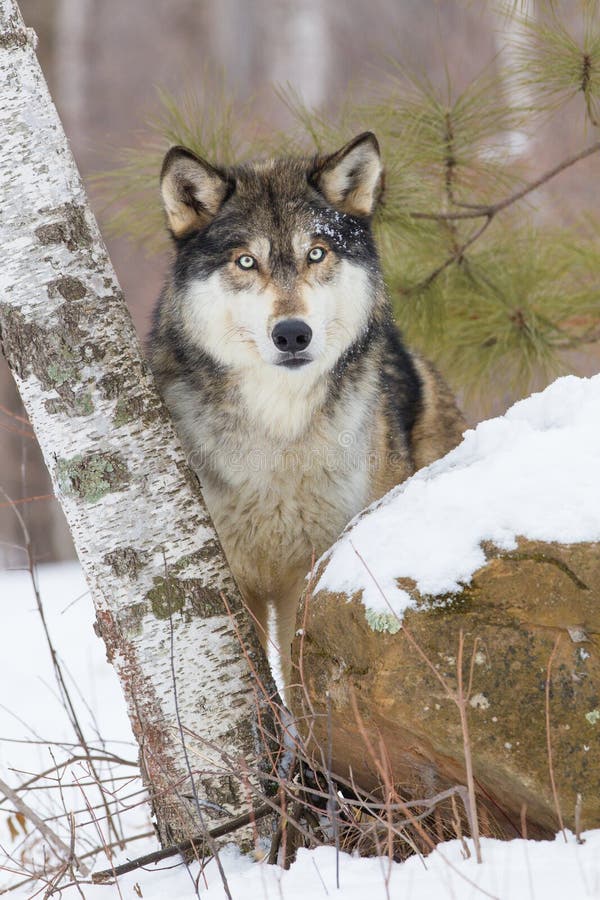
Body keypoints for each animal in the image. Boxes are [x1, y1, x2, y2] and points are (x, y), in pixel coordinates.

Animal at [150, 132, 465, 697]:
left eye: (316, 253)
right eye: (246, 262)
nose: (292, 334)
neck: (278, 428)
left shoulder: (311, 571)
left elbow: (302, 682)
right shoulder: (235, 579)